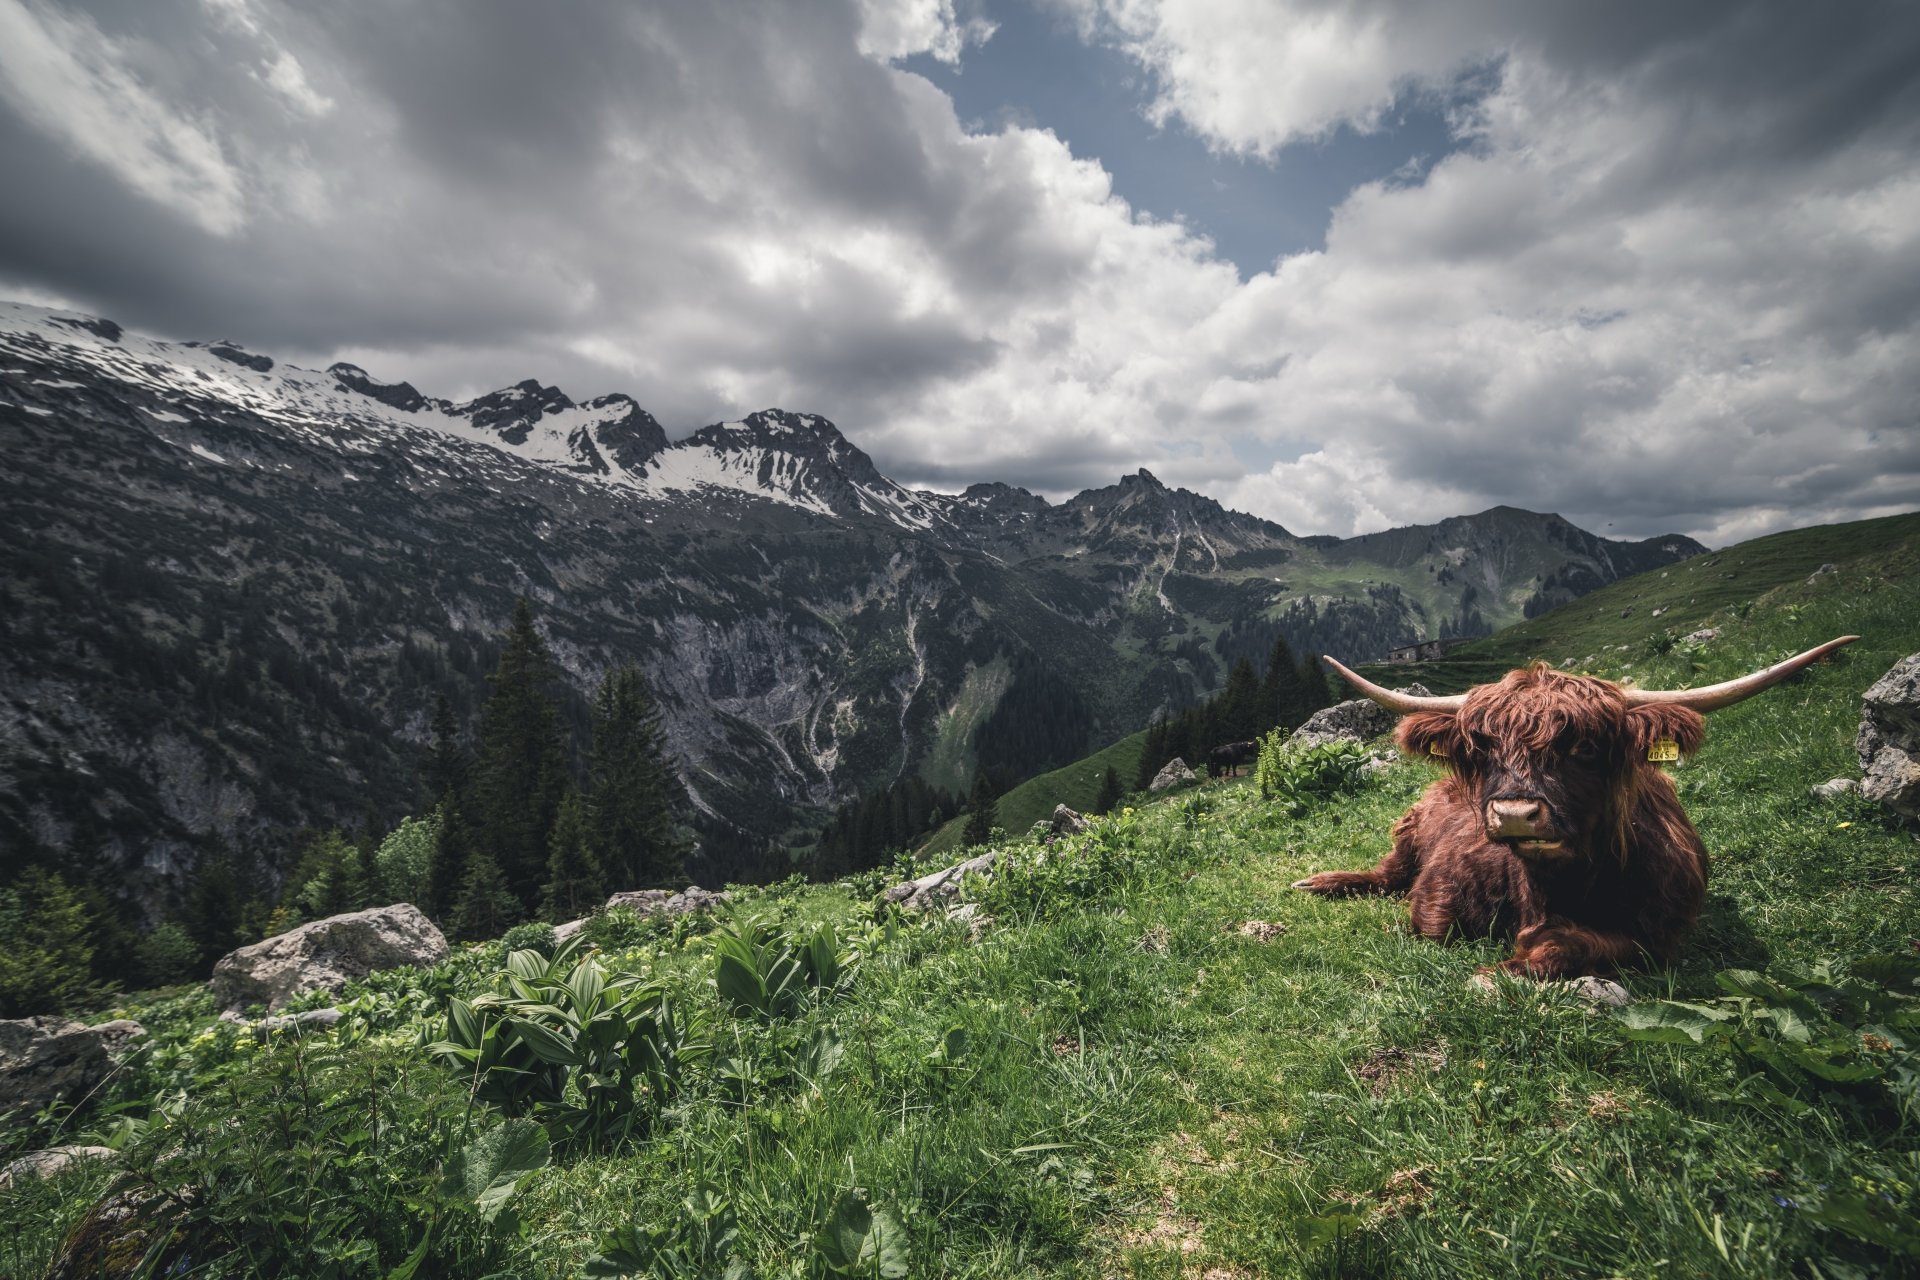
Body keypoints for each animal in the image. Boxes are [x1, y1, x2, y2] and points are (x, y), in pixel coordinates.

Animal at [1291, 637, 1858, 979]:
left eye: (1584, 747)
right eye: (1482, 748)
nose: (1514, 814)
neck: (1556, 886)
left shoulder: (1662, 935)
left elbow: (1569, 946)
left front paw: (1504, 969)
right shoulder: (1441, 885)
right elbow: (1430, 921)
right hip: (1409, 831)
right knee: (1387, 873)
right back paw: (1319, 881)